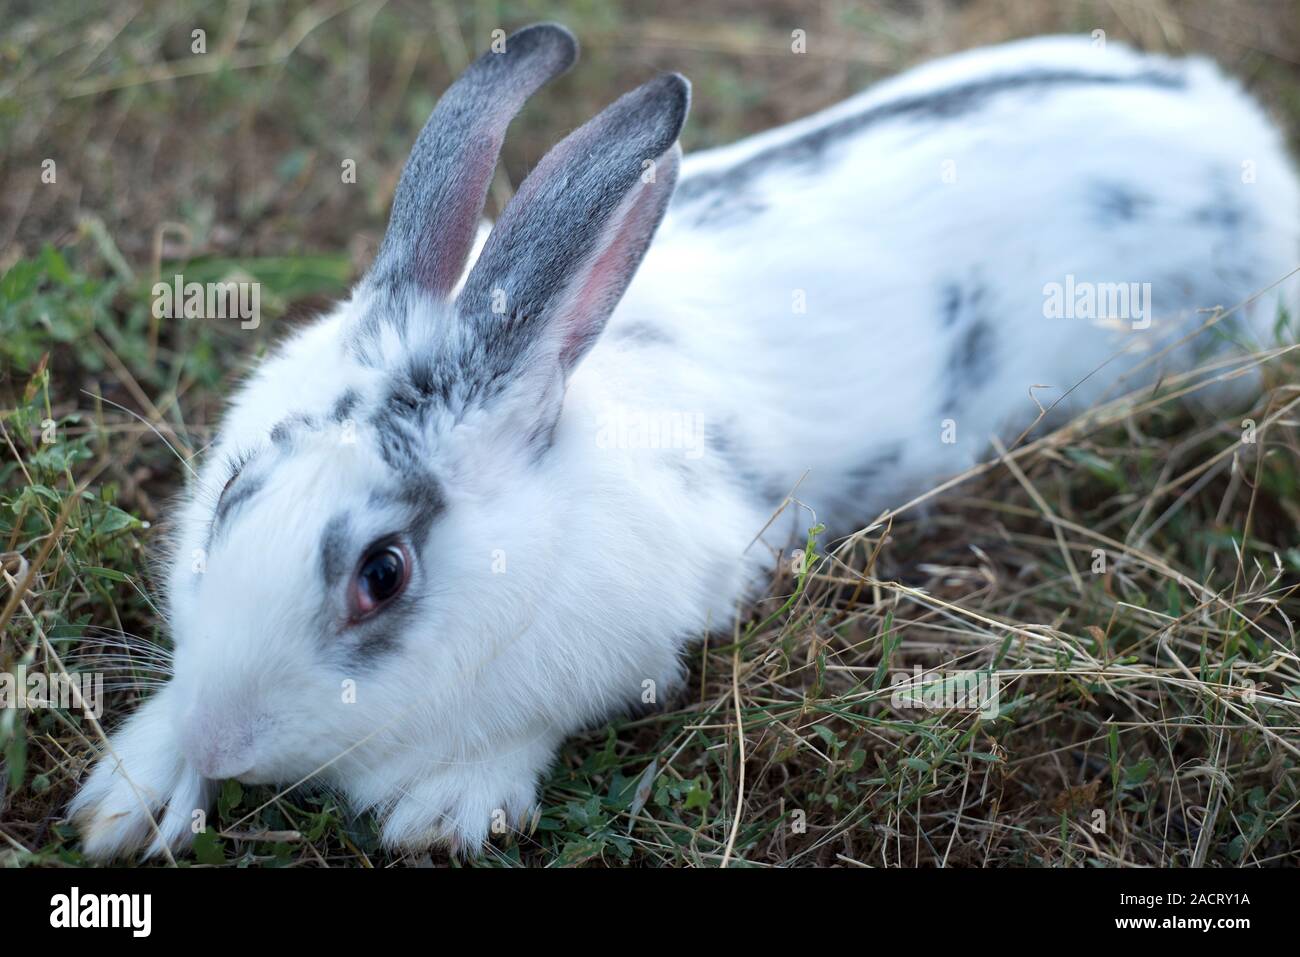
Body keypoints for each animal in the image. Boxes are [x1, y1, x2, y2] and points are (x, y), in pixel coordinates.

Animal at [70, 21, 1299, 858]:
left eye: (384, 573)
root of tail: (1233, 128)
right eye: (232, 497)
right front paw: (124, 797)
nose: (223, 743)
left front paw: (446, 809)